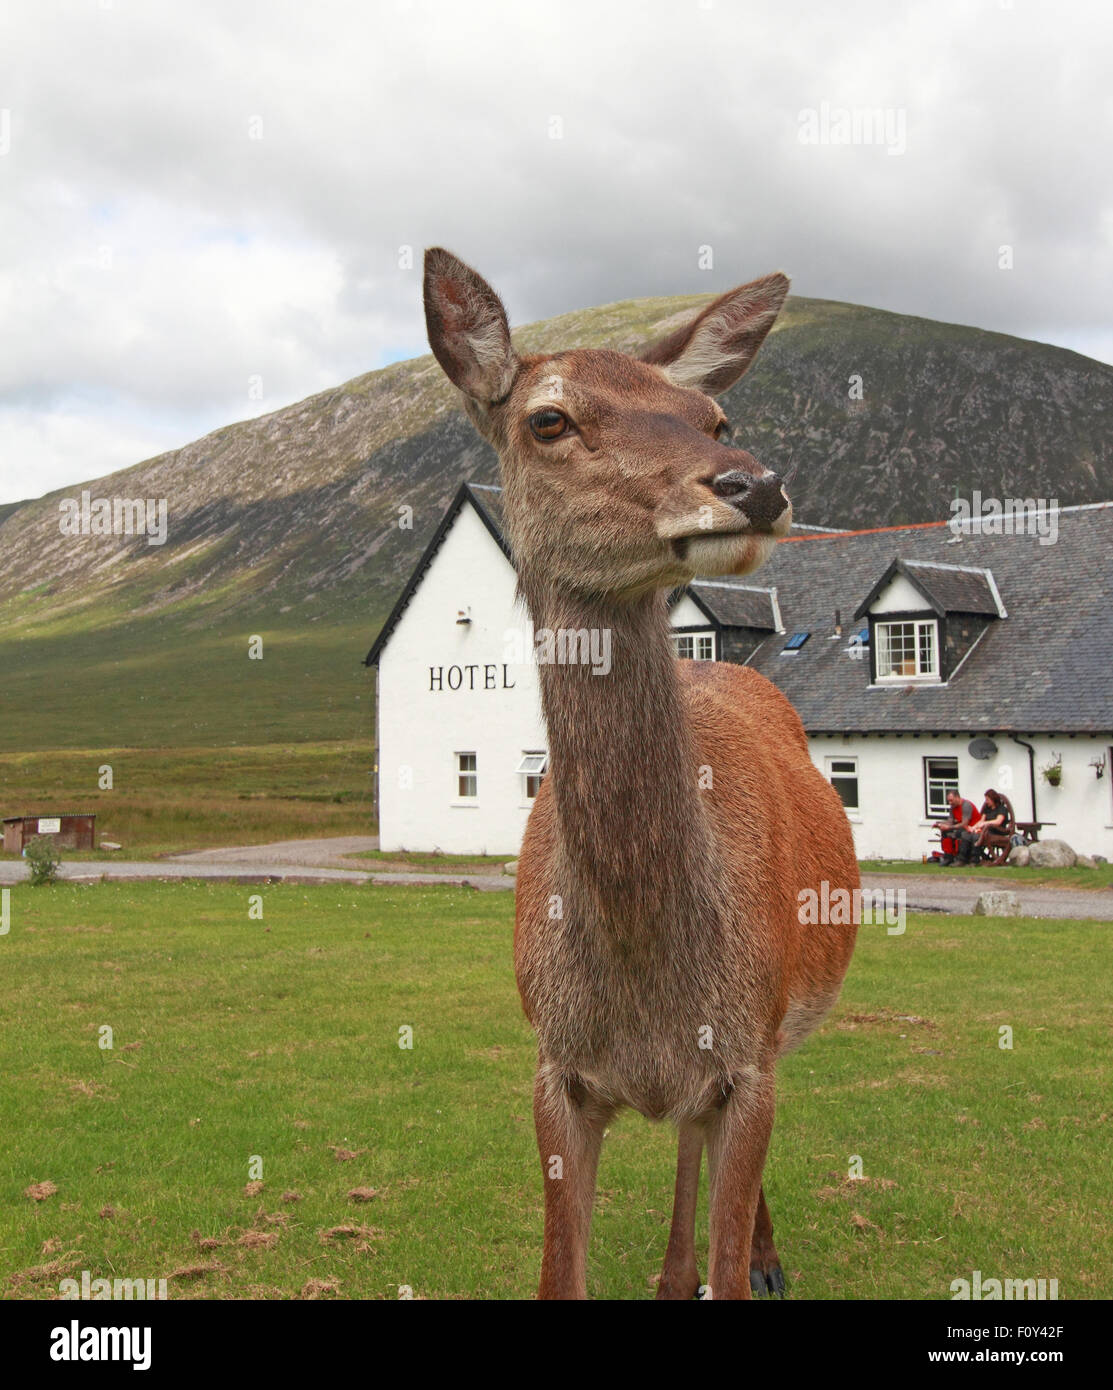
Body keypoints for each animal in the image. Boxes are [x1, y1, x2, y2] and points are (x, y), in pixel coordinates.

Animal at [422, 248, 859, 1300]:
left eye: (714, 418)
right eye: (547, 419)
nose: (754, 485)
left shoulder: (748, 1057)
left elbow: (731, 1242)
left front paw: (744, 1262)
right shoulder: (554, 1071)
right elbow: (560, 1276)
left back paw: (756, 1260)